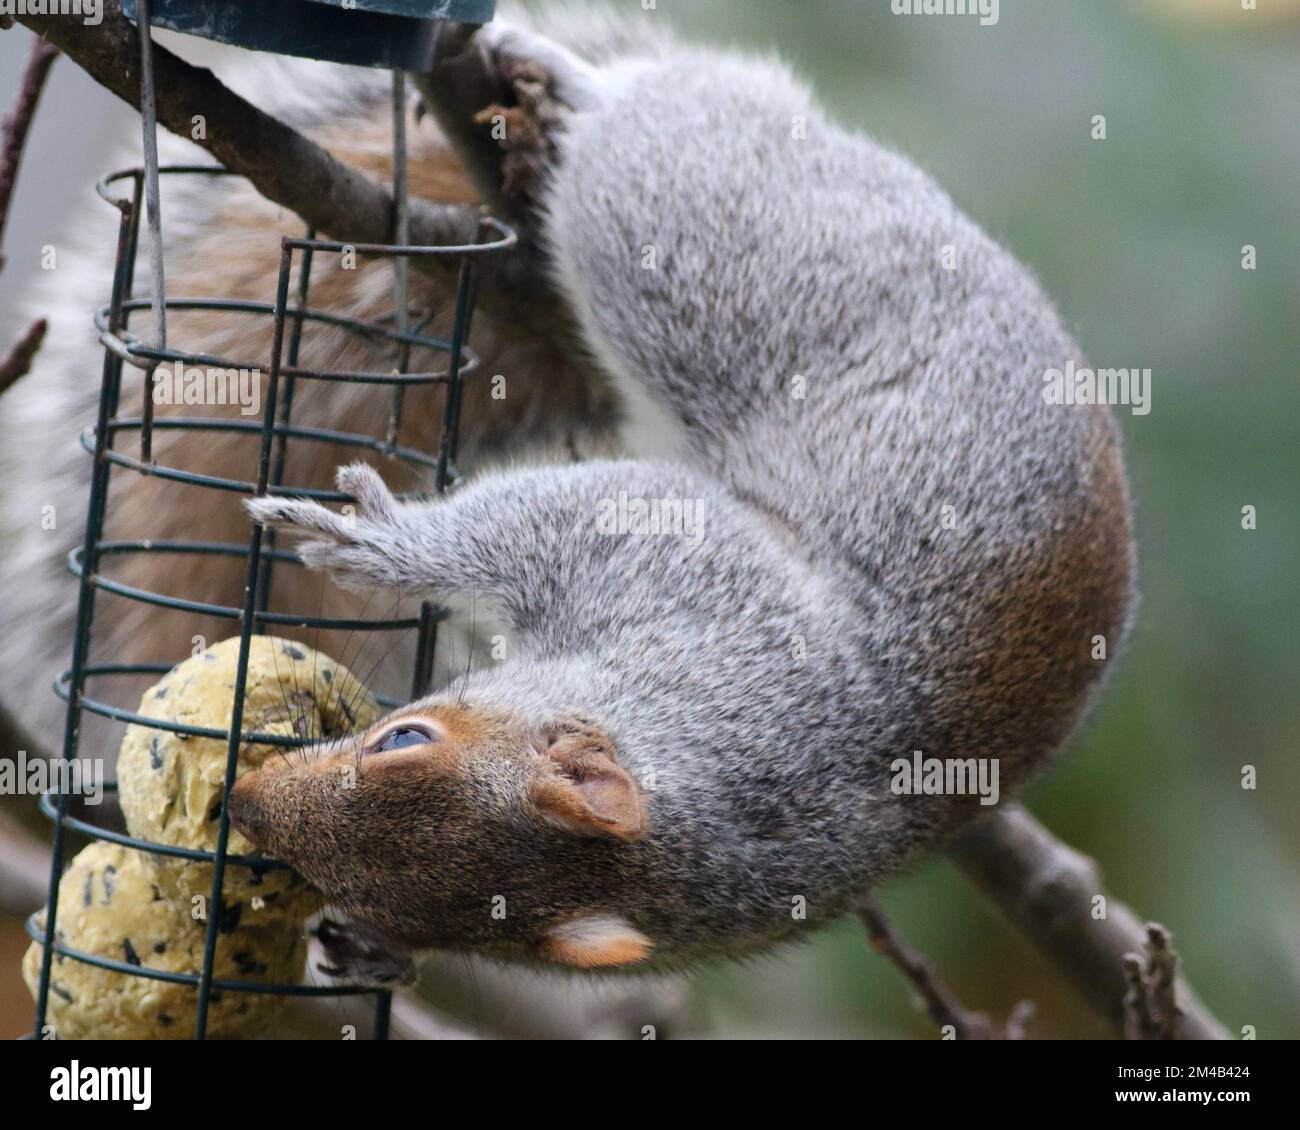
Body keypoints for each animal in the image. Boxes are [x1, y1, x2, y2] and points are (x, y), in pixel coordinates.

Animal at [228, 20, 1136, 974]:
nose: (242, 801)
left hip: (695, 244)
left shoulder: (678, 571)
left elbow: (533, 519)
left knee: (650, 128)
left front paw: (381, 544)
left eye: (404, 739)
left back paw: (573, 87)